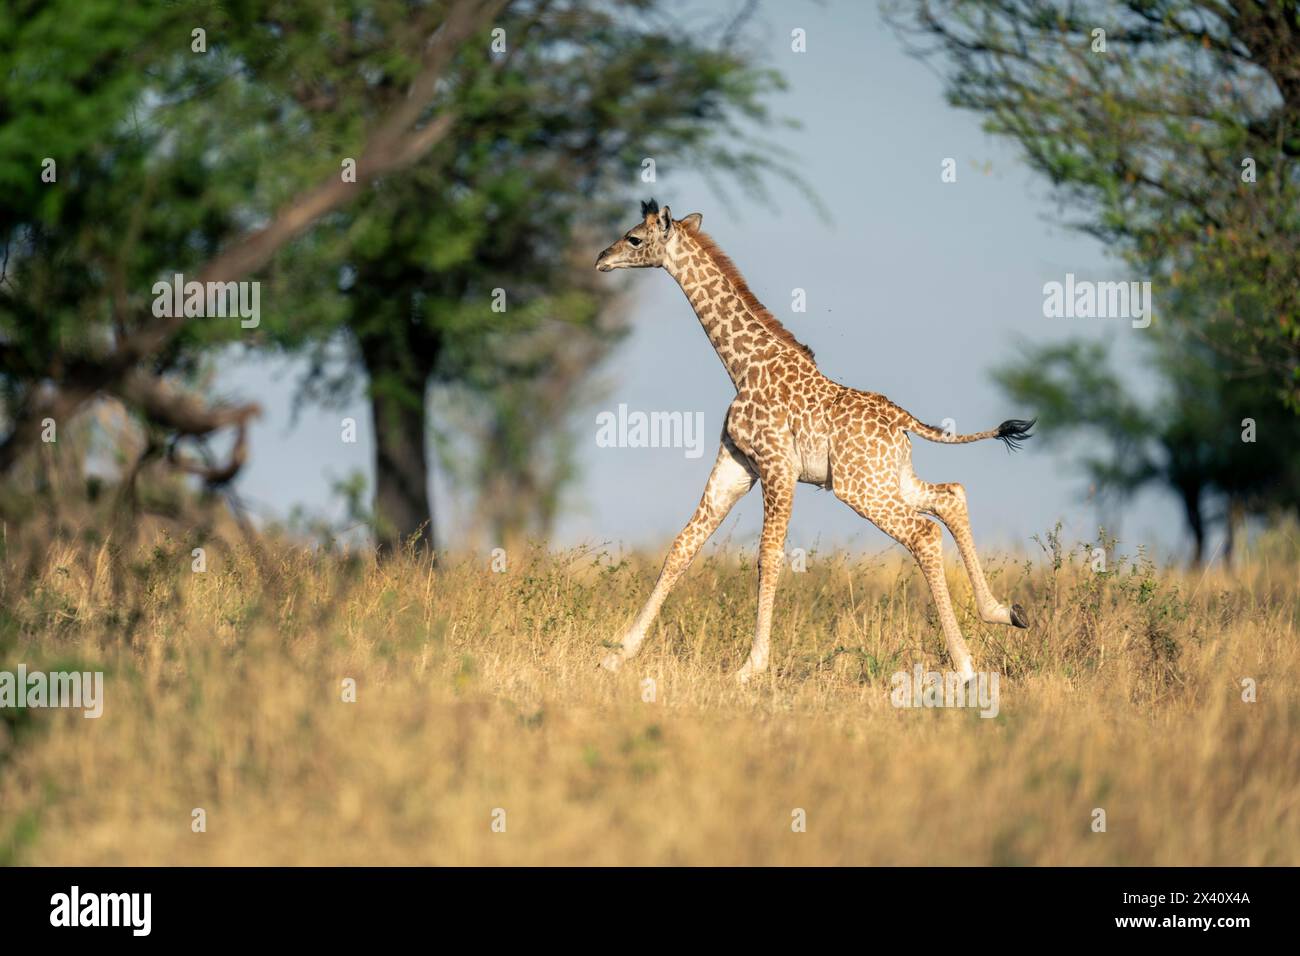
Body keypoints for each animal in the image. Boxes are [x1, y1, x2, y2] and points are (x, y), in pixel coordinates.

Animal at [595, 199, 1034, 684]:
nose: (601, 259)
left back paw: (965, 663)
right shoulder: (737, 465)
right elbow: (682, 546)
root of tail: (900, 419)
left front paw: (751, 666)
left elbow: (769, 556)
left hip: (860, 487)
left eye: (634, 238)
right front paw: (616, 655)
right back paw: (1003, 613)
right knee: (950, 496)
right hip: (889, 477)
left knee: (924, 531)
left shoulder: (777, 466)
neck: (743, 365)